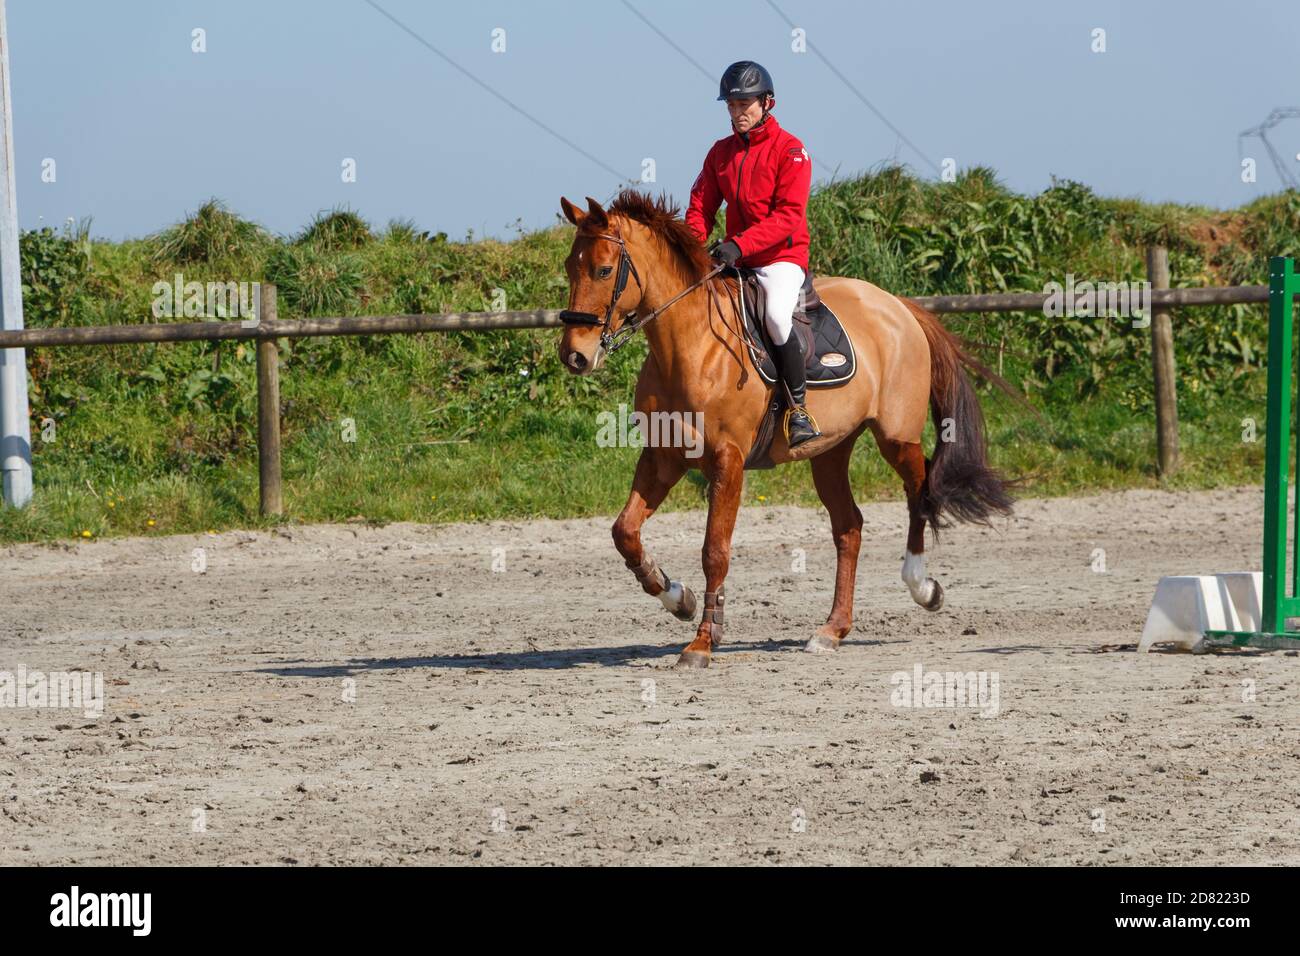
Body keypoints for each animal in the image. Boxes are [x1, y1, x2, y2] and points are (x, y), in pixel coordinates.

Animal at [556, 190, 1013, 668]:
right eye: (571, 266)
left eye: (604, 270)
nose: (575, 356)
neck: (691, 347)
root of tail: (896, 305)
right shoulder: (663, 457)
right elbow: (624, 533)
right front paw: (678, 597)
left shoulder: (728, 461)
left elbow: (714, 551)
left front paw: (702, 642)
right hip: (831, 452)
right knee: (849, 527)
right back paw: (832, 630)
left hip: (896, 438)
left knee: (920, 491)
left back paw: (923, 586)